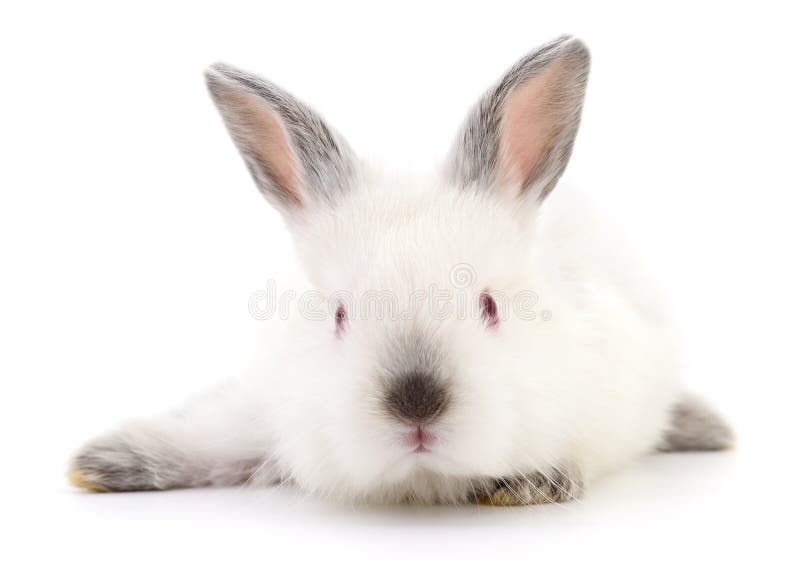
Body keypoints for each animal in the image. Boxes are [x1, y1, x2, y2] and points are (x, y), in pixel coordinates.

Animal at [67, 35, 734, 505]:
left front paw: (532, 483)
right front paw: (102, 463)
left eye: (491, 307)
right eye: (338, 316)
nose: (417, 404)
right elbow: (212, 435)